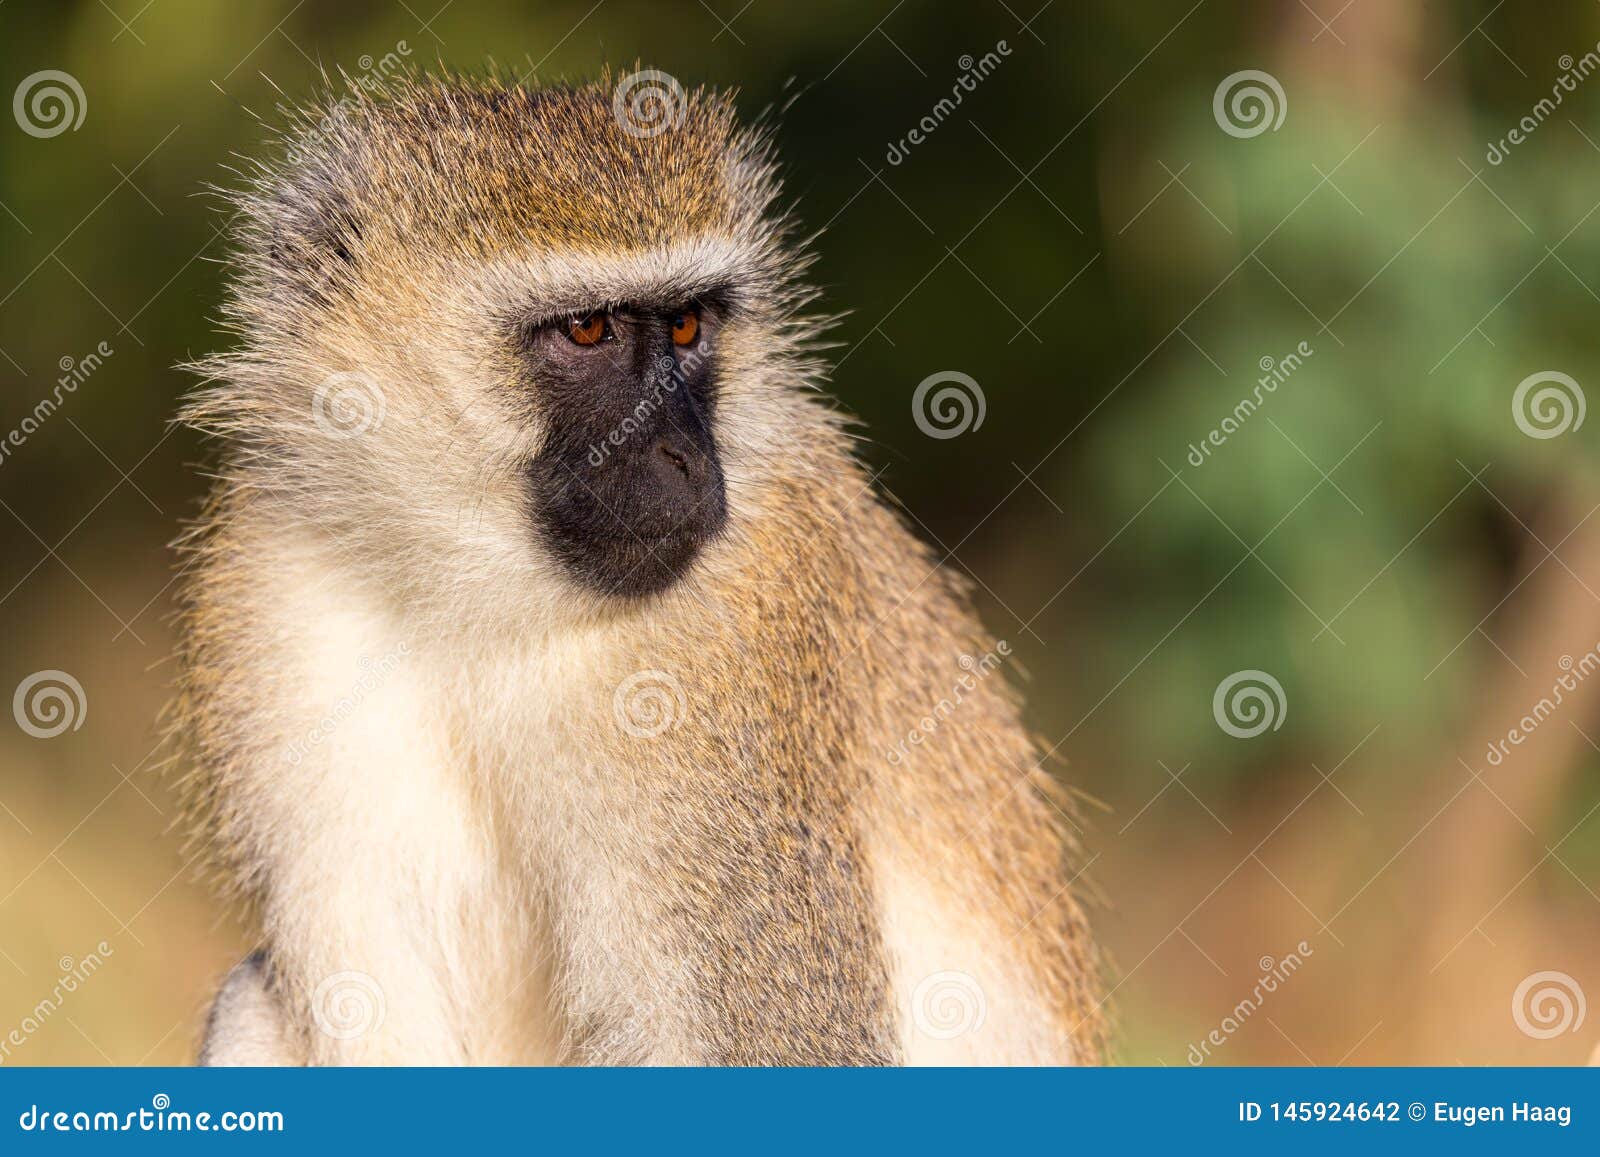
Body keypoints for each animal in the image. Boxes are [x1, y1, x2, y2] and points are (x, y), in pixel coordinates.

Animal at [173, 69, 1105, 1066]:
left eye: (688, 325)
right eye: (589, 330)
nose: (687, 459)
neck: (486, 596)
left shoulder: (722, 657)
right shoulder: (273, 582)